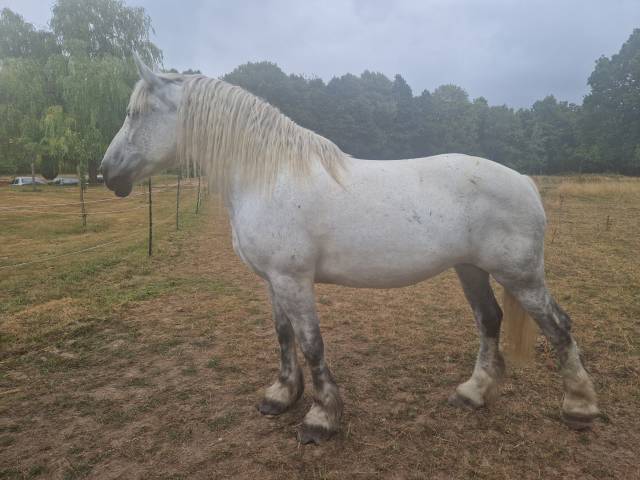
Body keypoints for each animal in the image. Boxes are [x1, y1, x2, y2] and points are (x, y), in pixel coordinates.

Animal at [100, 55, 600, 444]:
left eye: (136, 113)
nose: (106, 173)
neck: (271, 176)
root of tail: (524, 181)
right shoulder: (273, 281)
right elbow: (283, 336)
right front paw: (280, 396)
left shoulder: (294, 280)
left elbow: (311, 343)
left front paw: (320, 419)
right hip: (470, 268)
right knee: (489, 320)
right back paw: (473, 392)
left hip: (521, 275)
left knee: (559, 327)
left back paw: (579, 408)